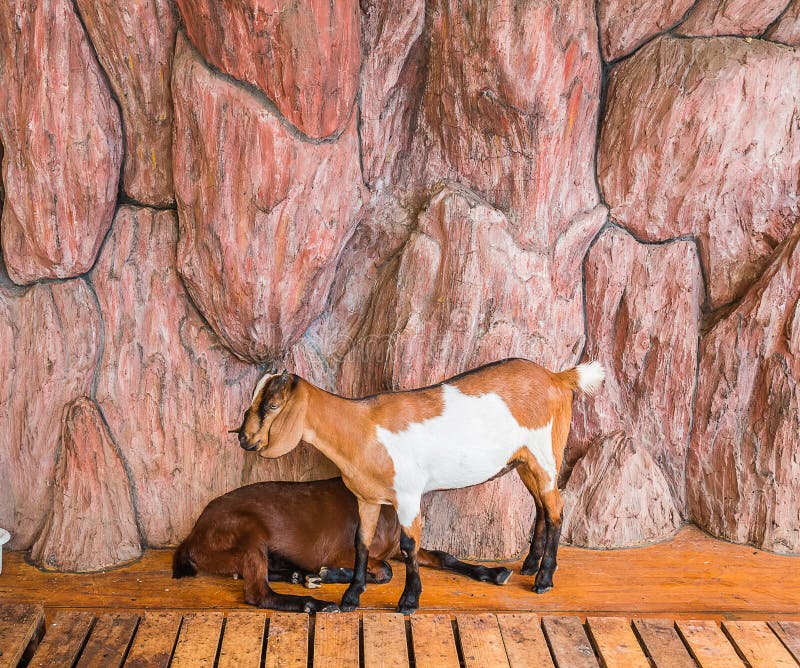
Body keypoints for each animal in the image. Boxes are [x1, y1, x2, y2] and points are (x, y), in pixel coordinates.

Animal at [172, 477, 512, 613]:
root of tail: (193, 535)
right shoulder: (347, 550)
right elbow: (384, 571)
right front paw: (334, 575)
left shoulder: (398, 548)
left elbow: (444, 555)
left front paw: (493, 573)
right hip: (249, 529)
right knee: (258, 592)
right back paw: (315, 603)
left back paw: (299, 576)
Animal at [235, 358, 604, 614]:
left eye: (272, 405)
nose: (243, 439)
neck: (362, 427)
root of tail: (558, 378)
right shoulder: (367, 498)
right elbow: (361, 543)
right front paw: (351, 596)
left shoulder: (408, 496)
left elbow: (409, 546)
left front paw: (409, 600)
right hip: (525, 461)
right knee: (541, 506)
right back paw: (529, 565)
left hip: (546, 455)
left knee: (556, 511)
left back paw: (543, 579)